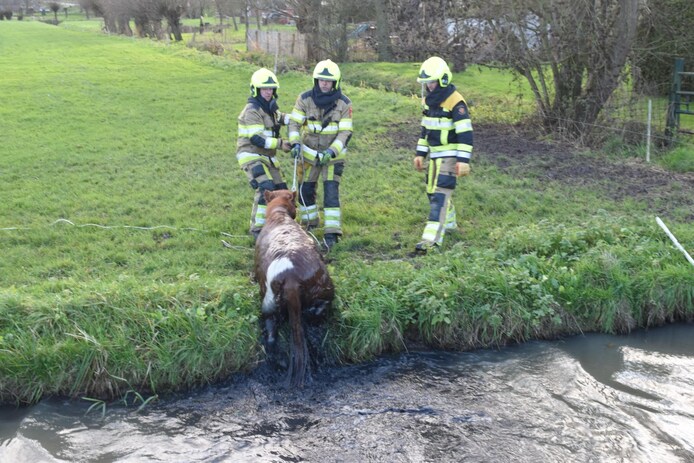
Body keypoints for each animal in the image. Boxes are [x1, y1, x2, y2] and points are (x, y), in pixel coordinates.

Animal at [254, 189, 335, 388]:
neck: (279, 215)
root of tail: (291, 278)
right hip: (323, 288)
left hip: (269, 304)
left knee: (271, 335)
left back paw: (282, 362)